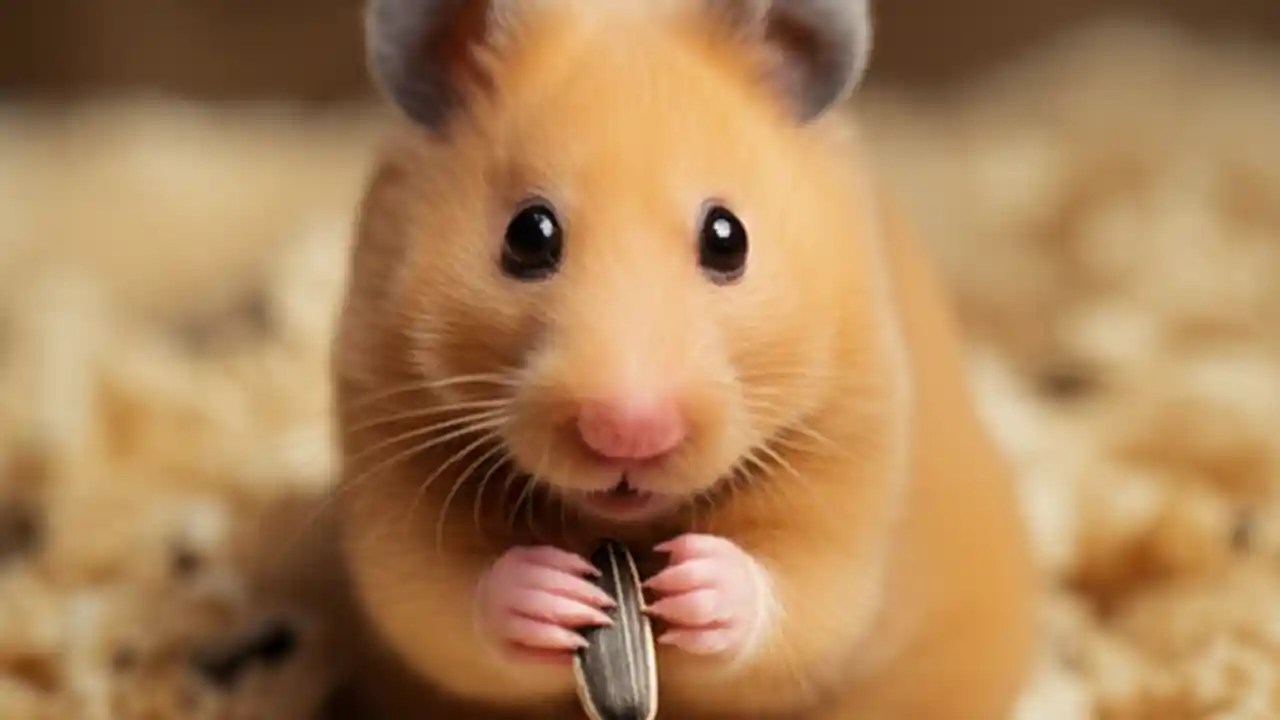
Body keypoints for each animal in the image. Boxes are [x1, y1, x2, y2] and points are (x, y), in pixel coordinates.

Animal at [333, 1, 1039, 718]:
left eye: (728, 237)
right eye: (528, 234)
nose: (629, 431)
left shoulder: (848, 448)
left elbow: (803, 597)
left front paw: (693, 582)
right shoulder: (389, 443)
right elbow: (441, 598)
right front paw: (556, 591)